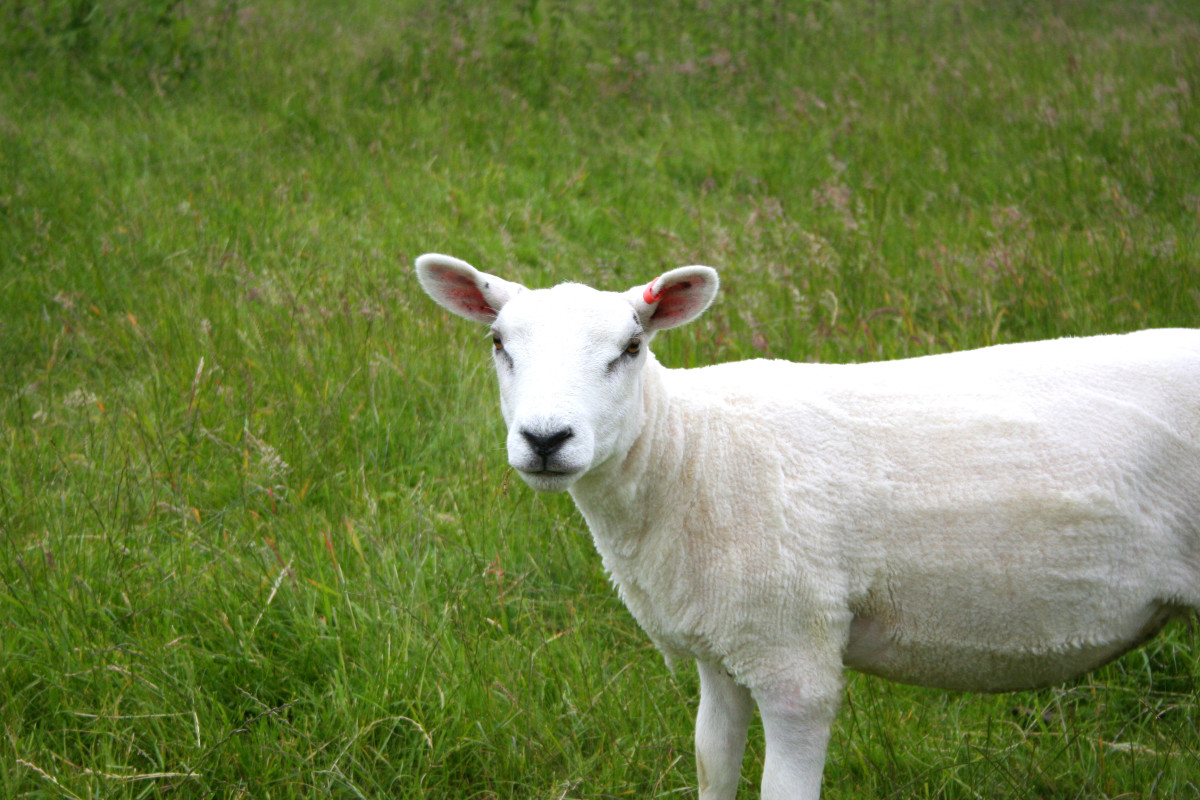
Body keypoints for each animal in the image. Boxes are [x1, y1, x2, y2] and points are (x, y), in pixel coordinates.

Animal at [414, 252, 1200, 800]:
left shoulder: (794, 656)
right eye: (498, 342)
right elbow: (712, 768)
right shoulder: (722, 646)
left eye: (631, 349)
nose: (546, 439)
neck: (690, 454)